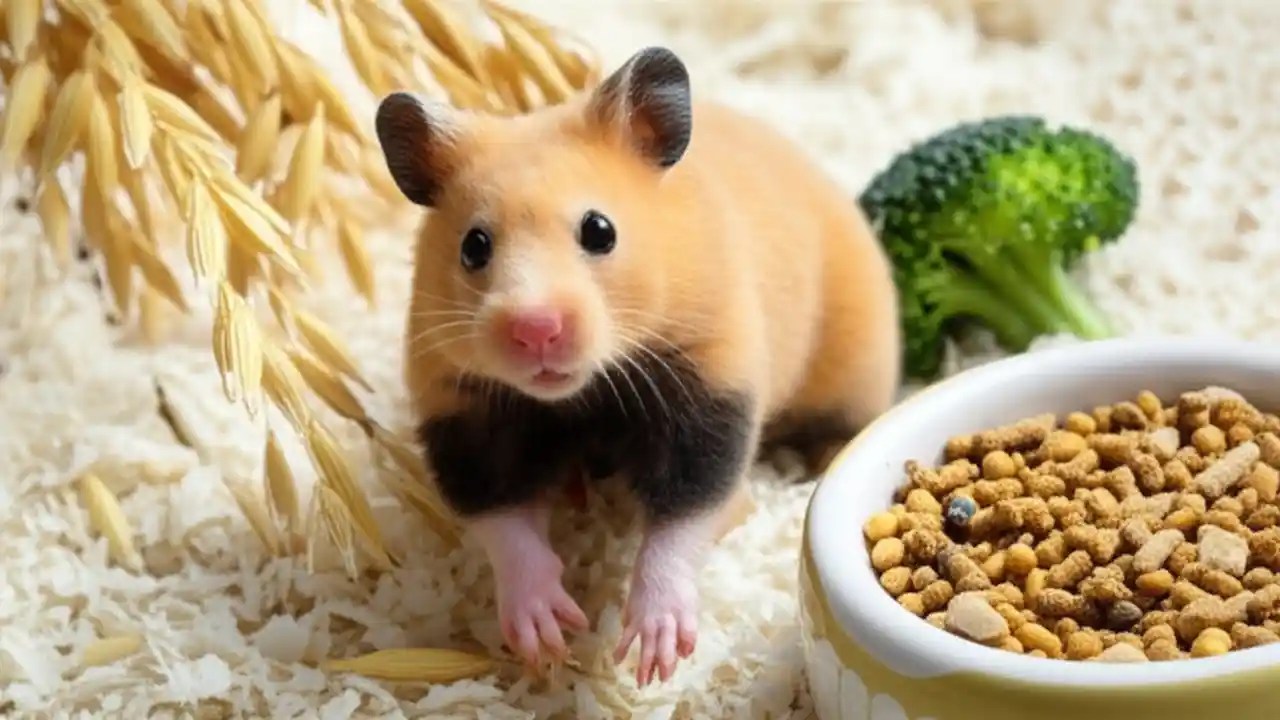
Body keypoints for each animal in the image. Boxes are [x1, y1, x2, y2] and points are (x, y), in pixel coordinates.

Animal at [374, 46, 901, 685]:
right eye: (473, 246)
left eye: (599, 230)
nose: (535, 328)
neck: (580, 394)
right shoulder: (467, 420)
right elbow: (508, 527)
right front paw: (546, 638)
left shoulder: (707, 396)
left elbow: (679, 525)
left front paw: (654, 656)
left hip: (854, 369)